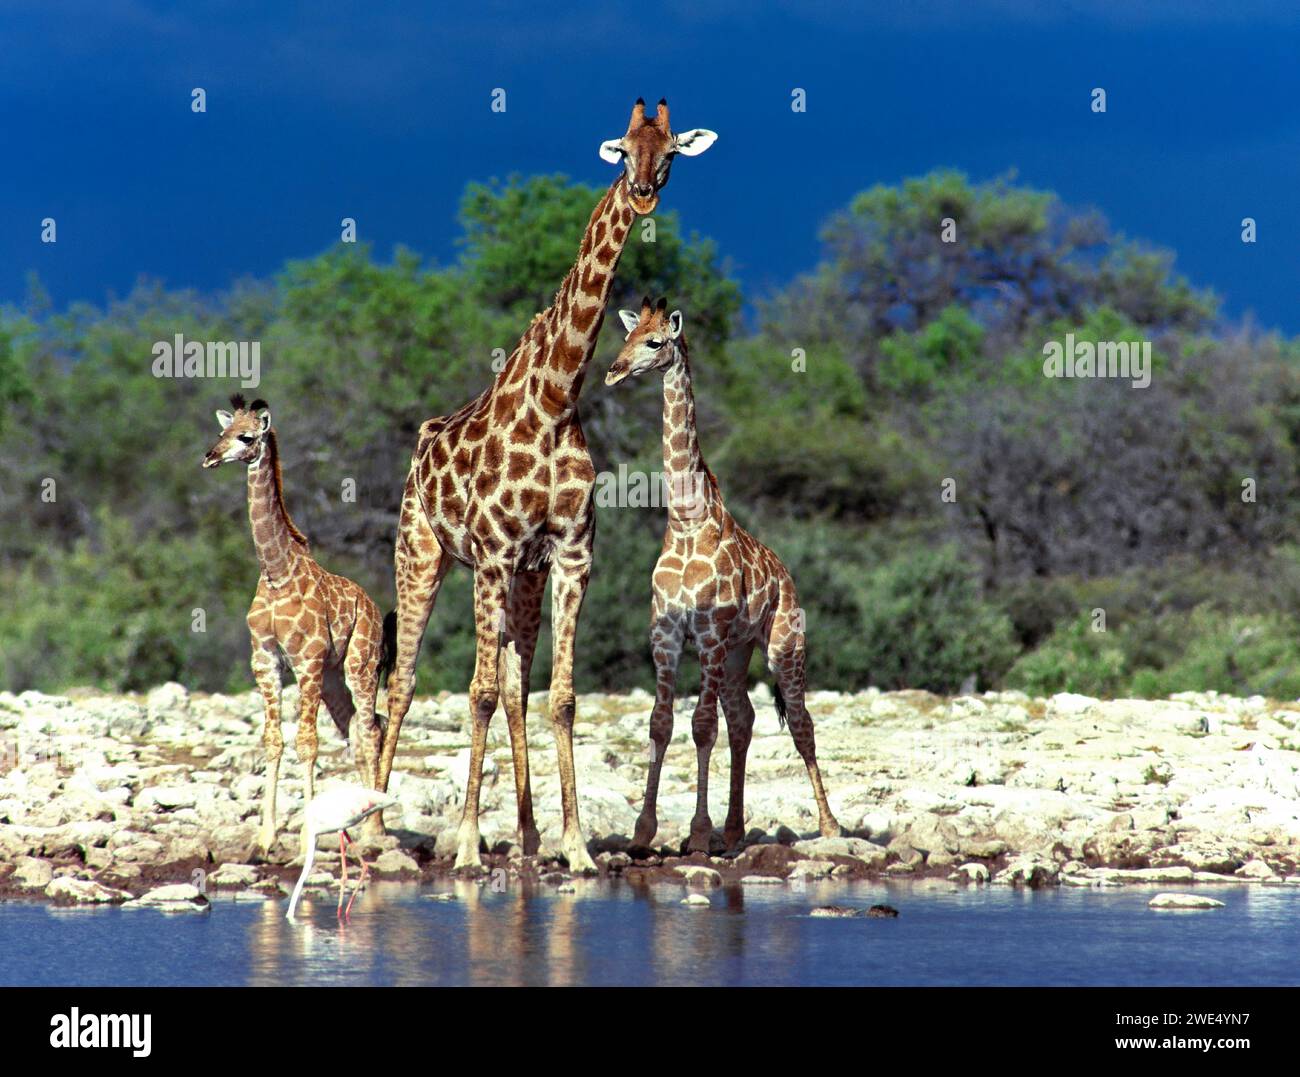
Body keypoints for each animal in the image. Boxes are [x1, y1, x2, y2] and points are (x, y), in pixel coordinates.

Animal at [202, 394, 396, 856]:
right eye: (221, 430)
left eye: (246, 437)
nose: (210, 457)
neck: (277, 572)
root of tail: (374, 608)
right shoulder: (266, 659)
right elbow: (273, 740)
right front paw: (264, 838)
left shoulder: (306, 661)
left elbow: (307, 743)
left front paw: (306, 836)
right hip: (332, 678)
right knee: (358, 731)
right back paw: (364, 820)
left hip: (359, 665)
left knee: (371, 727)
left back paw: (376, 830)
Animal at [381, 99, 718, 872]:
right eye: (623, 147)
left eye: (671, 152)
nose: (643, 193)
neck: (558, 396)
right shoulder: (493, 553)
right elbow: (473, 692)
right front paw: (468, 848)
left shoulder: (567, 555)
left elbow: (558, 697)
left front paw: (575, 846)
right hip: (423, 554)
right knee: (404, 679)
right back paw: (375, 826)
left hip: (523, 579)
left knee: (514, 688)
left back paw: (529, 833)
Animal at [605, 299, 841, 853]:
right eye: (626, 338)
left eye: (655, 342)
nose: (614, 371)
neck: (687, 520)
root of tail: (786, 574)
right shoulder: (667, 633)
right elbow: (661, 723)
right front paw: (644, 832)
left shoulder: (709, 633)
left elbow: (701, 725)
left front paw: (695, 832)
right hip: (739, 652)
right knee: (744, 719)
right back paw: (733, 830)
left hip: (782, 646)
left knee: (800, 722)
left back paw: (829, 825)